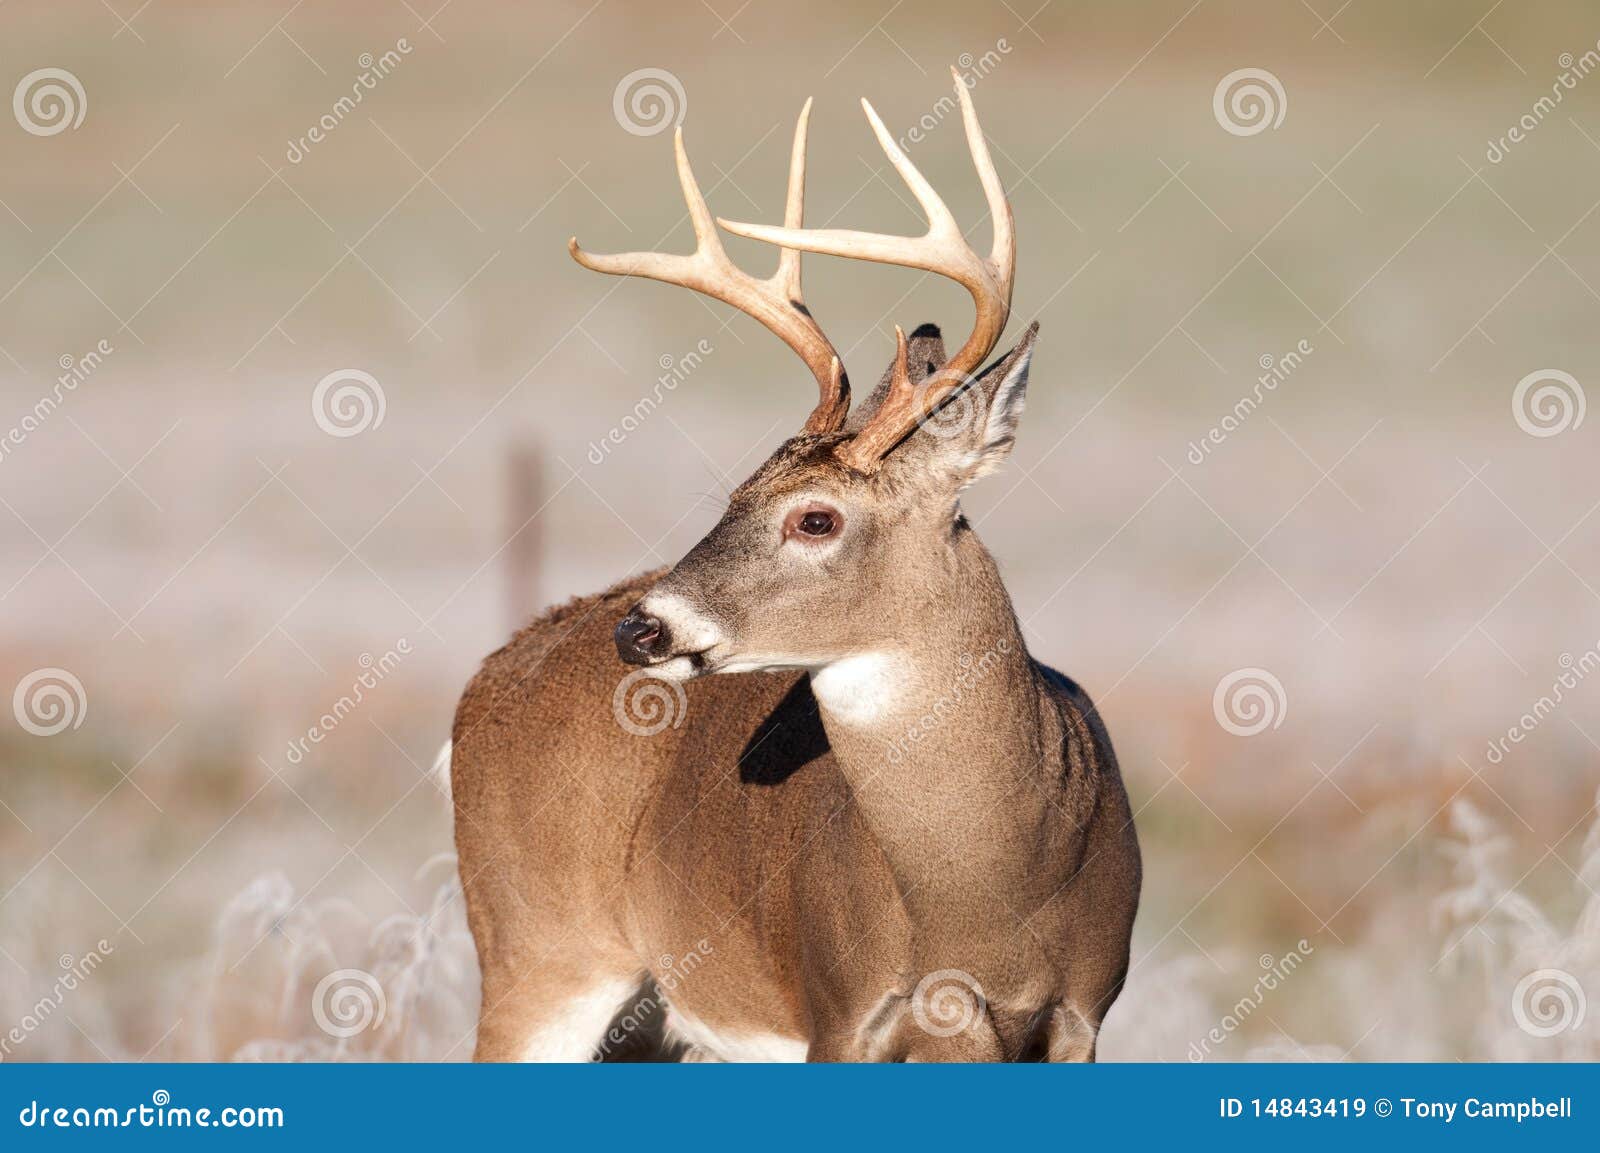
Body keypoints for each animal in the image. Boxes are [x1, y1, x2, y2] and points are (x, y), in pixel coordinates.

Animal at [448, 71, 1140, 1062]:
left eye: (816, 517)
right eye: (735, 490)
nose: (640, 627)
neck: (987, 892)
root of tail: (485, 677)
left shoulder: (1083, 1012)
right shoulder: (841, 1008)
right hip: (538, 947)